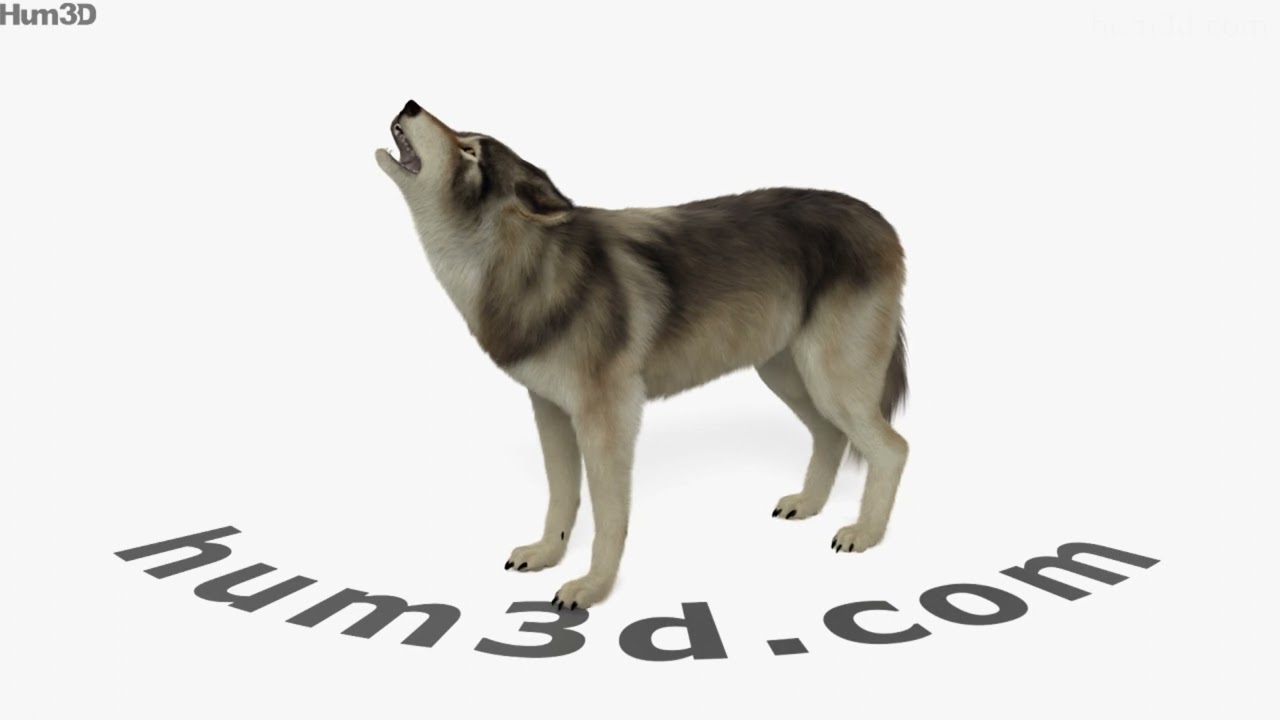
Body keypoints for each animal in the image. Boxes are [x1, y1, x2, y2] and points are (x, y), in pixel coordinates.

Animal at [376, 100, 909, 610]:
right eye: (465, 138)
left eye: (471, 151)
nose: (410, 104)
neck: (530, 267)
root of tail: (881, 222)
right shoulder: (550, 411)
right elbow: (561, 497)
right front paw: (546, 554)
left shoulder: (606, 420)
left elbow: (609, 518)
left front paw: (591, 589)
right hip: (788, 377)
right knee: (831, 436)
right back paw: (808, 504)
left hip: (829, 381)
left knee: (893, 448)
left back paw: (864, 534)